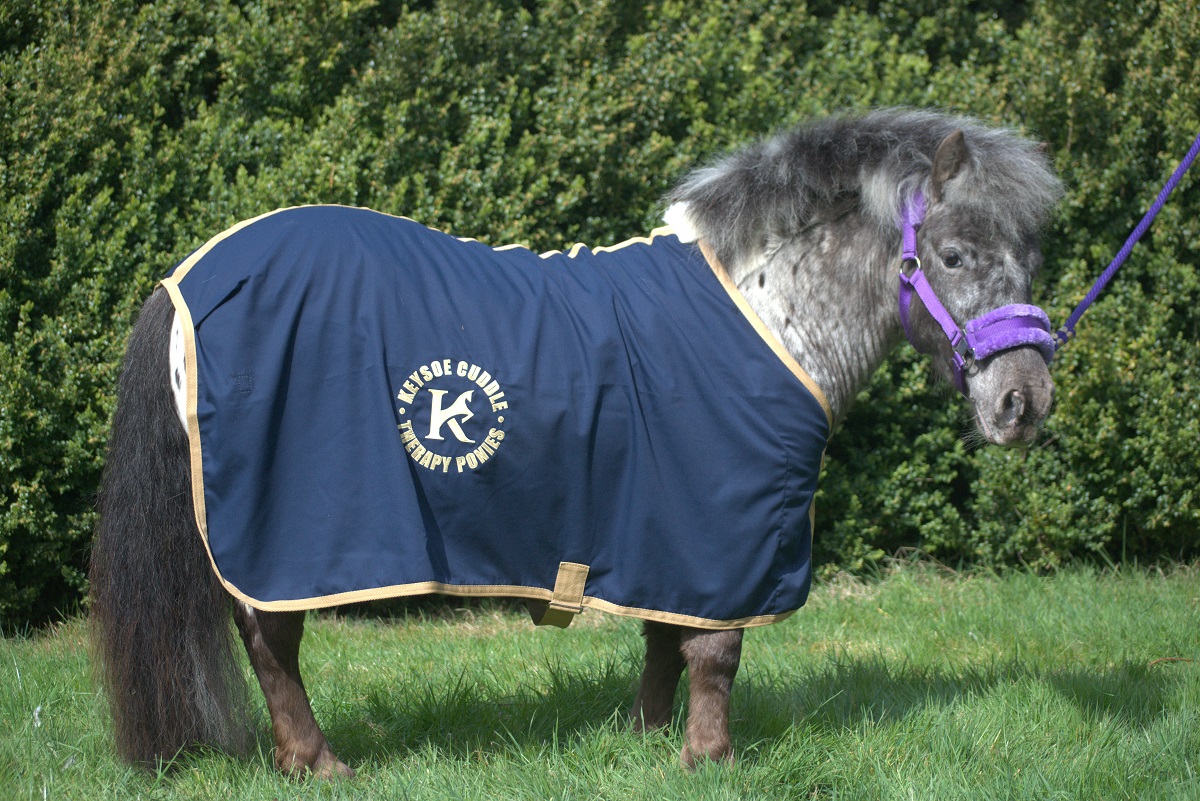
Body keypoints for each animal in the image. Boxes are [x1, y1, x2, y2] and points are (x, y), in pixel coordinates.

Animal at [88, 109, 1063, 778]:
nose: (1025, 403)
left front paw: (649, 738)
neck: (764, 314)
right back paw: (317, 760)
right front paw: (711, 759)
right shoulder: (726, 523)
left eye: (1032, 255)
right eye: (952, 254)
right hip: (288, 534)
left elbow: (668, 638)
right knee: (272, 641)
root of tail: (194, 275)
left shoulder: (675, 532)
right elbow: (716, 650)